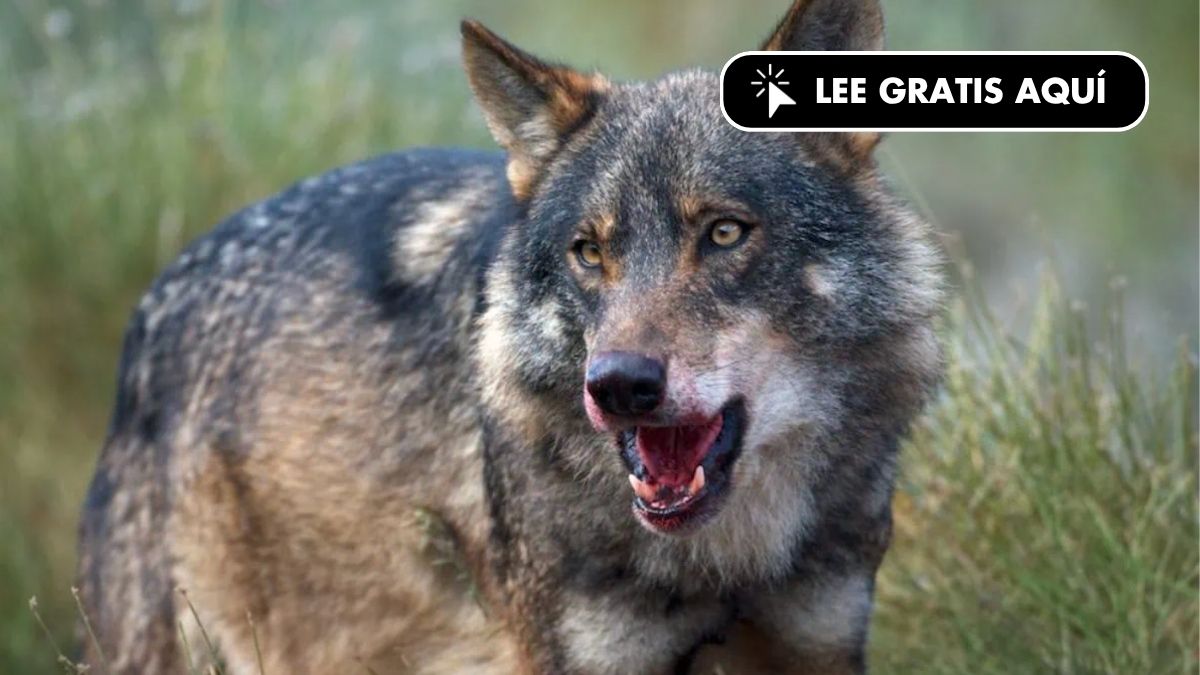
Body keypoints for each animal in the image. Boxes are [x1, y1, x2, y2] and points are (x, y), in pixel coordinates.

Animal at [76, 0, 943, 672]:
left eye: (725, 232)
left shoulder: (819, 641)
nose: (618, 386)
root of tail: (157, 298)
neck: (728, 563)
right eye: (589, 252)